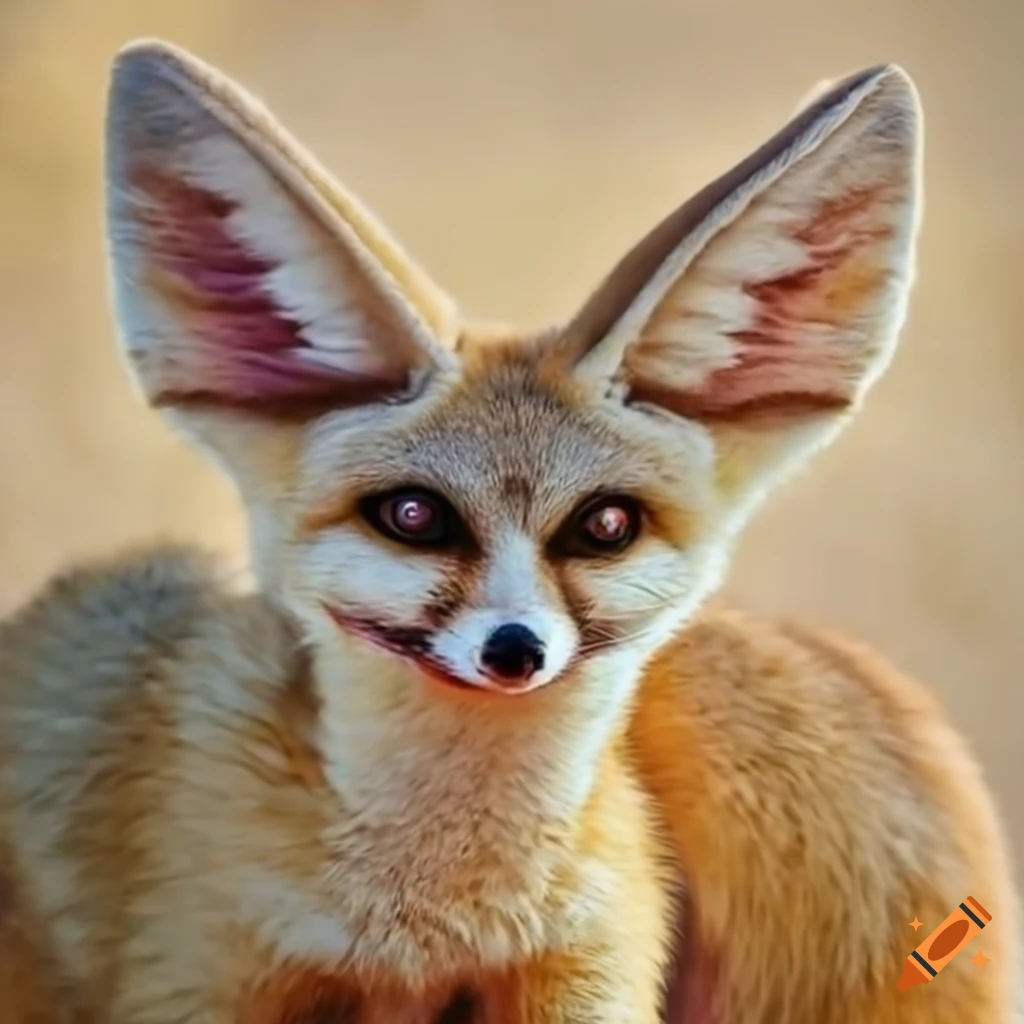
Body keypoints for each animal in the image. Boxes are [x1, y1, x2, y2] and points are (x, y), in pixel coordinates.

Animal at [0, 37, 1019, 1024]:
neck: (426, 926)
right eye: (414, 516)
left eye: (604, 524)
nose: (516, 648)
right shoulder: (193, 964)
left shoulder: (591, 966)